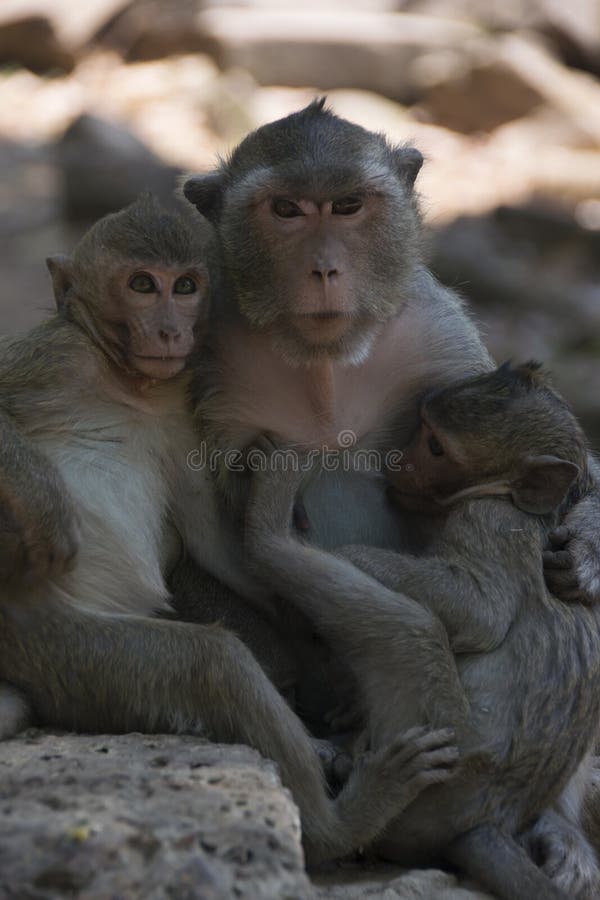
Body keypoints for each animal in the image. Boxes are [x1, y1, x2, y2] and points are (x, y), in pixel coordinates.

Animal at [0, 194, 460, 865]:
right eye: (143, 285)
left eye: (186, 286)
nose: (171, 330)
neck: (126, 383)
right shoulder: (55, 357)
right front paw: (46, 509)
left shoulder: (184, 412)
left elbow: (214, 537)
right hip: (58, 646)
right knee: (210, 665)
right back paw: (341, 827)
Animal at [243, 361, 600, 899]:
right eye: (423, 429)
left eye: (435, 447)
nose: (398, 462)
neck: (521, 501)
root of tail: (485, 822)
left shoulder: (489, 520)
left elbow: (478, 612)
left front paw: (351, 555)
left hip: (443, 772)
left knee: (413, 630)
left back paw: (270, 535)